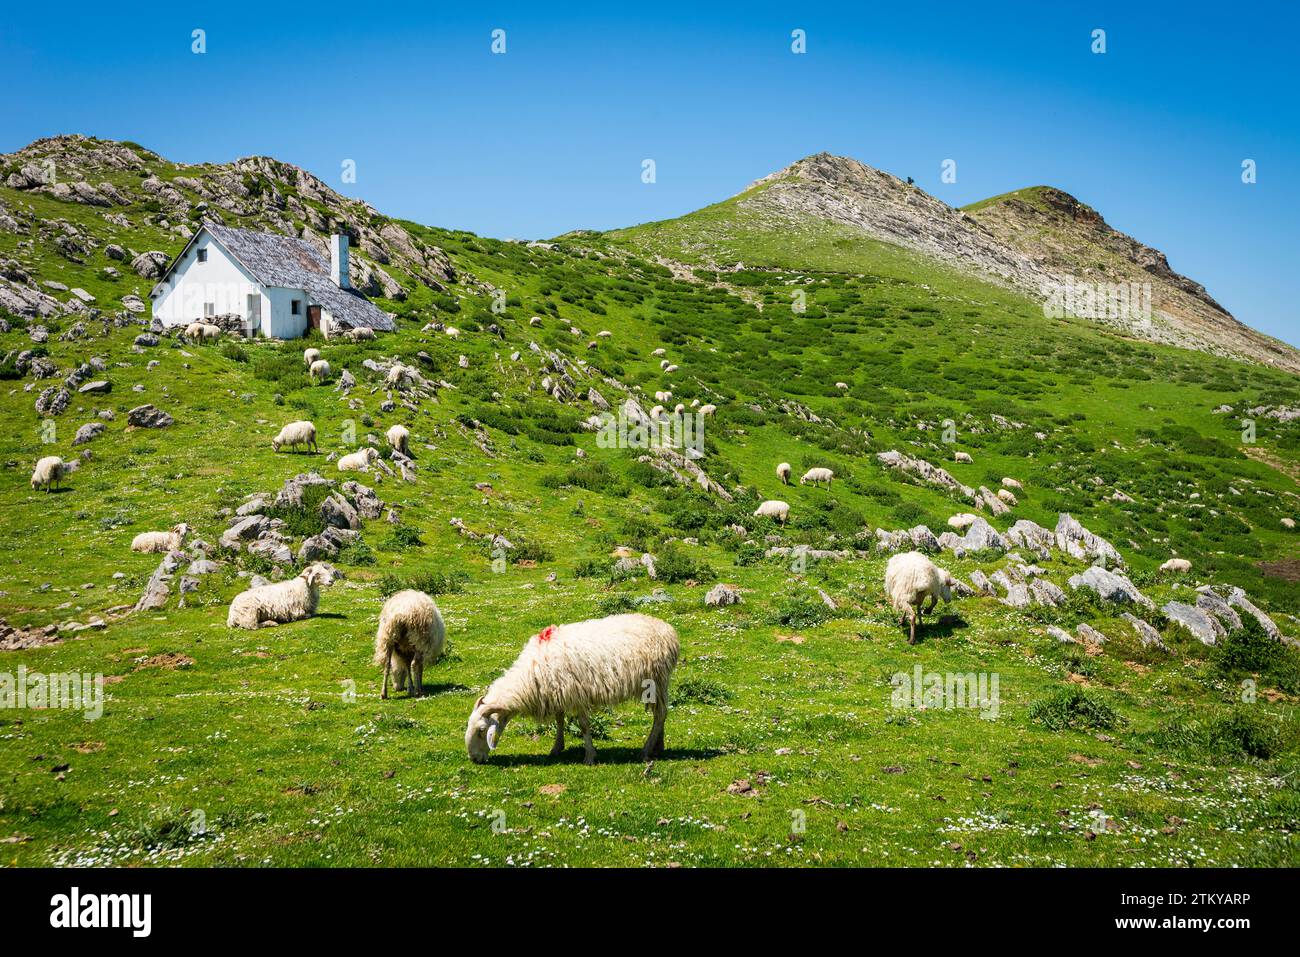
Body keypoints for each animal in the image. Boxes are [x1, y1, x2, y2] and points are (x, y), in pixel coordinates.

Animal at [465, 613, 679, 765]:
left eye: (481, 730)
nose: (474, 759)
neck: (530, 674)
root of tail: (668, 630)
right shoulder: (557, 691)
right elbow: (559, 720)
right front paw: (557, 748)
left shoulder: (577, 694)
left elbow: (583, 725)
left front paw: (589, 757)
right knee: (660, 715)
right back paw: (658, 747)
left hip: (656, 680)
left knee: (660, 714)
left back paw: (646, 750)